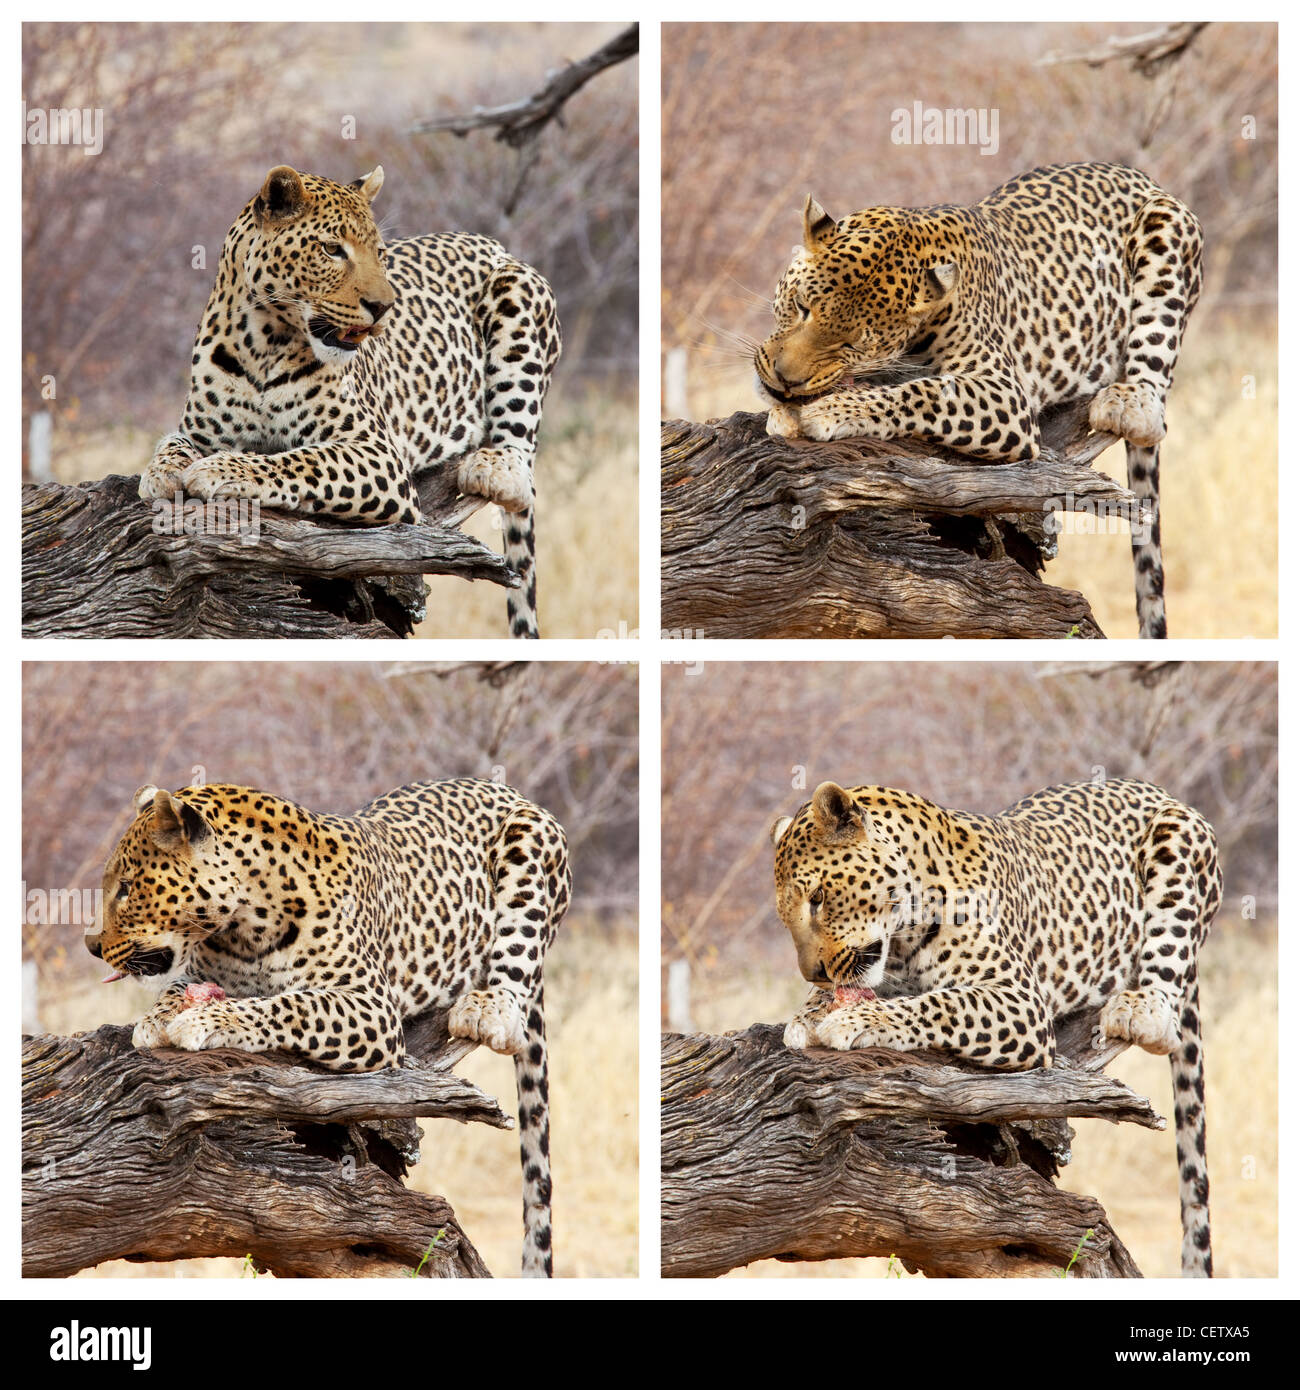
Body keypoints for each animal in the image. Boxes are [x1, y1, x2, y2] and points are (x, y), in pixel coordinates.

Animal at [85, 777, 572, 1277]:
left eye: (127, 887)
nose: (92, 945)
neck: (244, 926)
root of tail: (501, 787)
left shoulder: (371, 1006)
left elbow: (293, 1004)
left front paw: (208, 1019)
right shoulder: (200, 972)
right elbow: (174, 989)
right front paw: (155, 1019)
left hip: (533, 845)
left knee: (515, 971)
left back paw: (487, 1007)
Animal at [137, 164, 561, 638]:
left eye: (379, 253)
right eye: (331, 249)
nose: (383, 307)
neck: (263, 343)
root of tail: (490, 242)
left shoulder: (378, 454)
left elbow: (301, 460)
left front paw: (222, 470)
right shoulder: (200, 429)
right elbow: (174, 443)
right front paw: (162, 473)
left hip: (520, 292)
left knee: (520, 465)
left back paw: (492, 466)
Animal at [754, 163, 1204, 639]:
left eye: (851, 344)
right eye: (801, 306)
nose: (784, 380)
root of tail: (1139, 176)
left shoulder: (1004, 393)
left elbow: (921, 391)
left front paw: (829, 410)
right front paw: (789, 408)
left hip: (1168, 230)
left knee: (1153, 403)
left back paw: (1127, 401)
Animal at [770, 777, 1221, 1276]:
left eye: (818, 898)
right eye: (786, 915)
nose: (814, 973)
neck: (903, 933)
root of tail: (1150, 787)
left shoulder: (1020, 1000)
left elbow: (942, 1002)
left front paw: (856, 1018)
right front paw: (808, 1014)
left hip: (1180, 841)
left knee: (1164, 991)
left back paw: (1138, 1007)